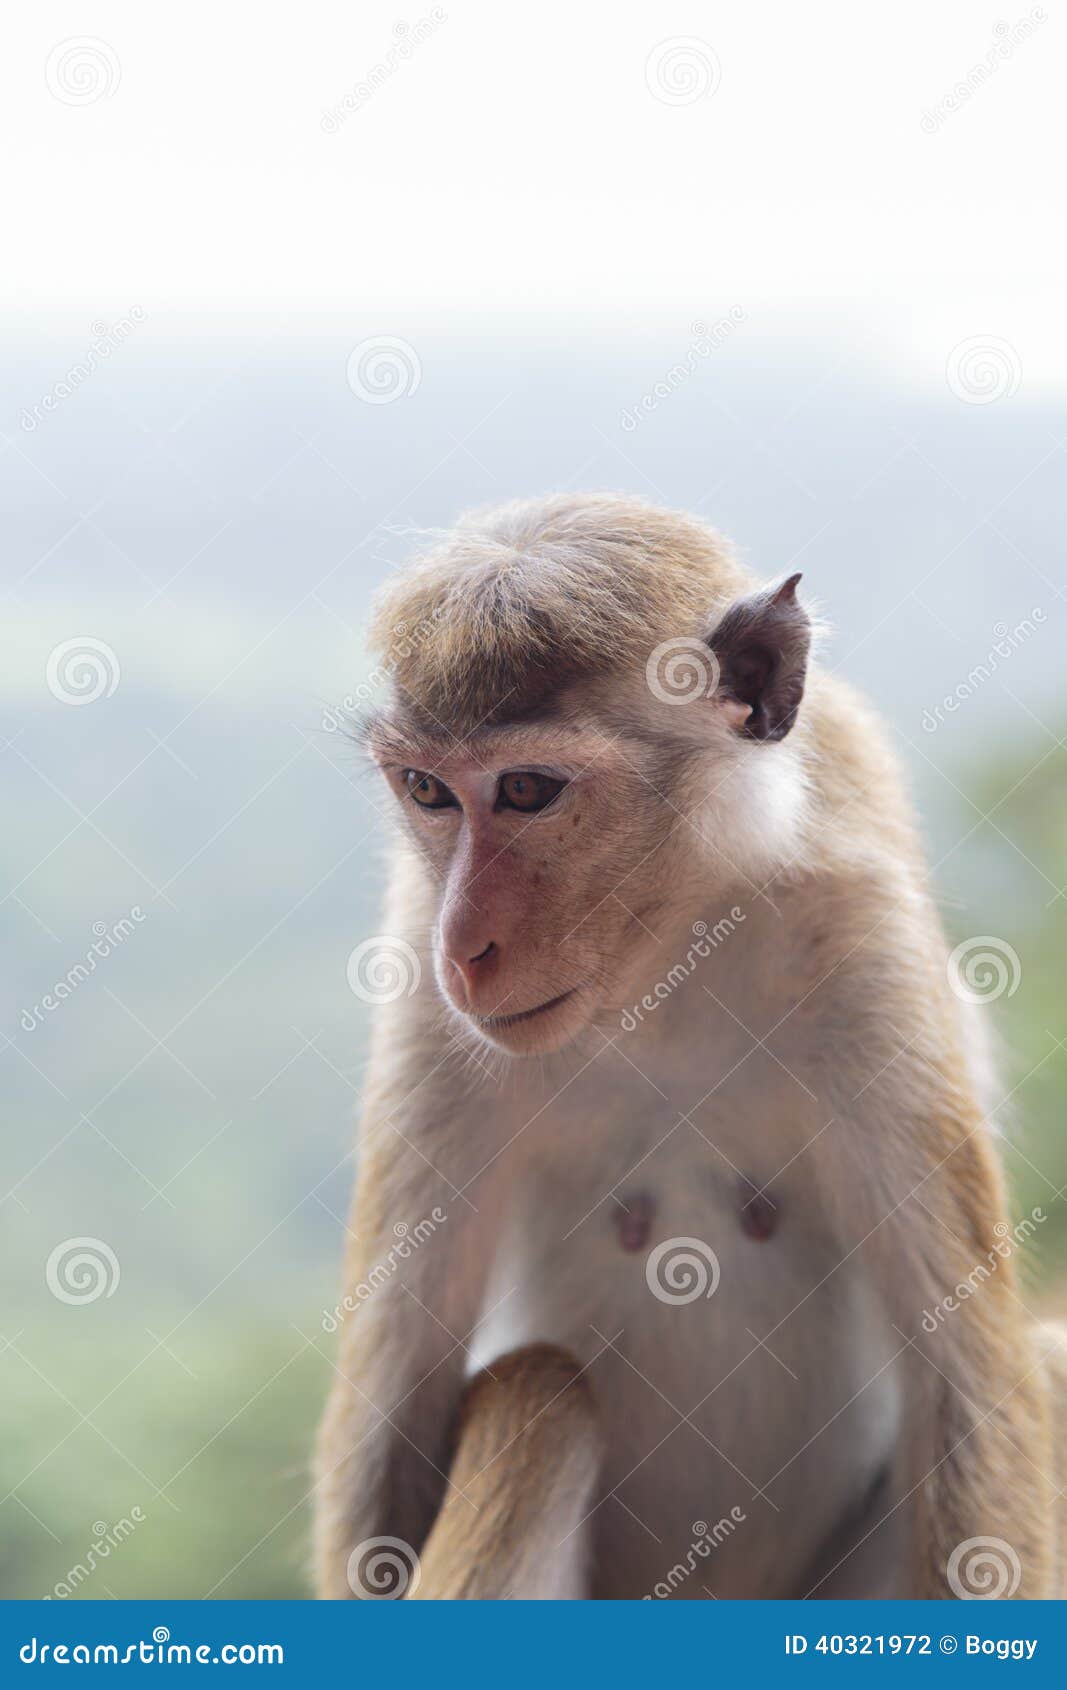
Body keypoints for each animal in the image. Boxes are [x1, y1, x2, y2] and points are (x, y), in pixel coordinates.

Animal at [314, 492, 1062, 1600]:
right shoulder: (420, 988)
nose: (465, 950)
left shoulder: (865, 948)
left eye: (527, 791)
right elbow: (385, 1475)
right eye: (428, 791)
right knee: (537, 1396)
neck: (663, 968)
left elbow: (966, 1385)